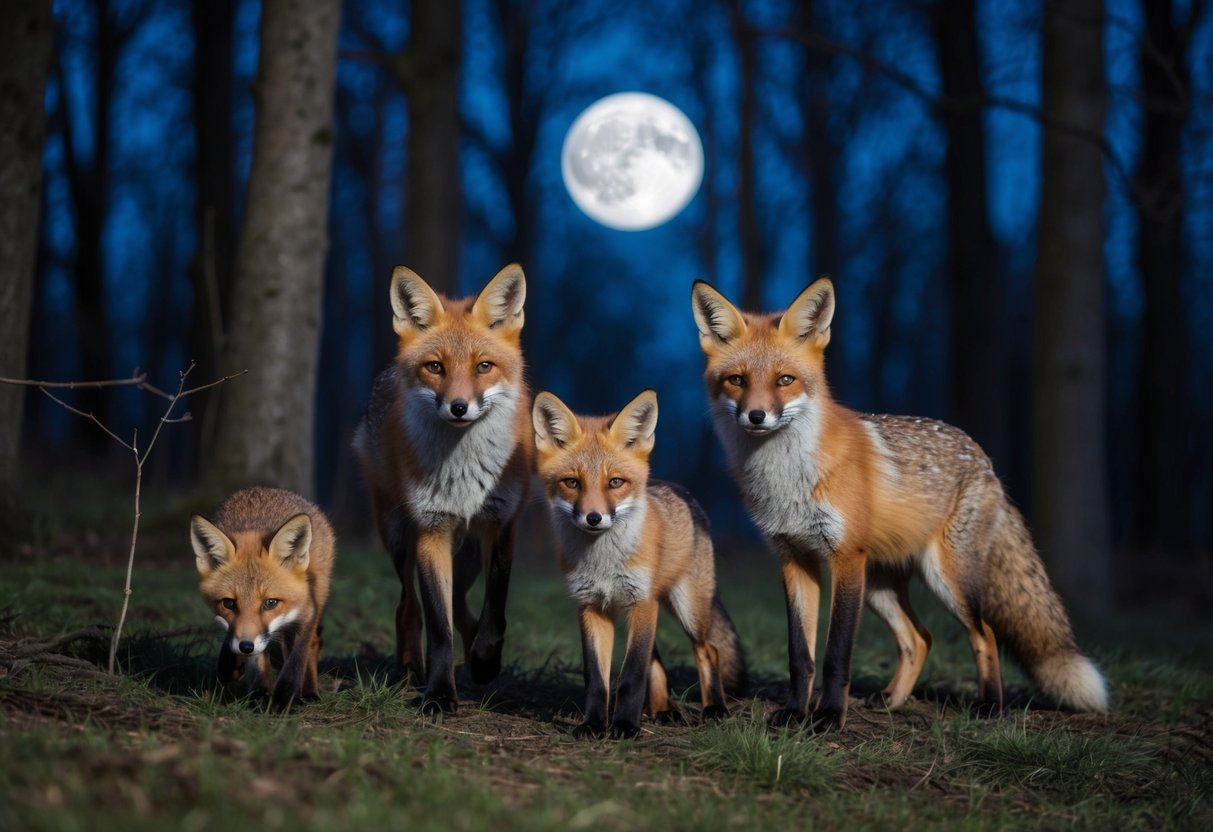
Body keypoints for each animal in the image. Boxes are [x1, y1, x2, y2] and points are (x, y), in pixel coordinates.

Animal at [190, 486, 335, 708]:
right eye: (229, 603)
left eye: (270, 603)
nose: (245, 647)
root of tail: (266, 489)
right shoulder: (247, 634)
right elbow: (256, 659)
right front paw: (259, 693)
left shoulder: (308, 611)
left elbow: (296, 660)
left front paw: (285, 697)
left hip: (320, 594)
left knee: (314, 643)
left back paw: (309, 691)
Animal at [354, 263, 532, 714]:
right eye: (435, 367)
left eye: (484, 366)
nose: (458, 407)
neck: (464, 472)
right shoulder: (431, 531)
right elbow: (437, 627)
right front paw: (438, 691)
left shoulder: (502, 524)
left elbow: (495, 611)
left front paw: (485, 660)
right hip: (400, 537)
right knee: (409, 606)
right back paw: (411, 669)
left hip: (467, 557)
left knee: (463, 609)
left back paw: (478, 663)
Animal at [533, 389, 747, 739]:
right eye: (572, 482)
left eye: (615, 482)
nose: (594, 518)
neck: (603, 563)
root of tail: (679, 489)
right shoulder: (591, 606)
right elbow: (598, 679)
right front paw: (593, 724)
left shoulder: (641, 601)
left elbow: (632, 674)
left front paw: (624, 726)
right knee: (656, 660)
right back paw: (663, 710)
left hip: (686, 607)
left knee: (709, 650)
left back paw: (714, 708)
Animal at [691, 277, 1108, 730]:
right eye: (737, 380)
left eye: (785, 379)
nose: (756, 416)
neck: (787, 481)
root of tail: (985, 460)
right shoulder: (795, 559)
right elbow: (800, 654)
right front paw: (794, 712)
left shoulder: (845, 559)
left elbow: (836, 654)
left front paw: (829, 716)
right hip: (880, 587)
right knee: (920, 638)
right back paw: (893, 700)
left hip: (944, 579)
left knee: (986, 634)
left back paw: (991, 707)